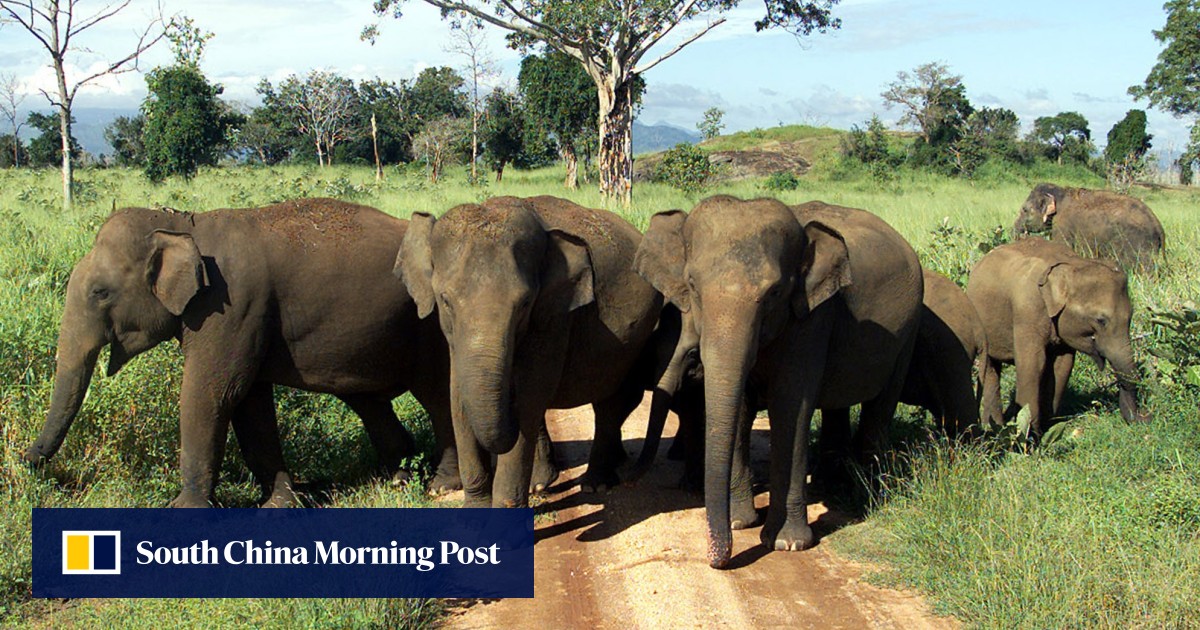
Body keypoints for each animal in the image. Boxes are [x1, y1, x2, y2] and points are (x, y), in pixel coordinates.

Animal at [25, 198, 459, 508]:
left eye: (100, 292)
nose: (29, 464)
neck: (183, 225)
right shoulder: (244, 320)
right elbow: (249, 404)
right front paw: (282, 502)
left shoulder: (231, 307)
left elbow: (211, 394)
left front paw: (184, 509)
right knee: (368, 400)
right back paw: (399, 477)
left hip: (431, 329)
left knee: (437, 394)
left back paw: (441, 485)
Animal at [394, 195, 663, 509]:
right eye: (445, 300)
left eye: (524, 304)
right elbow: (458, 399)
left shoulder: (554, 316)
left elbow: (528, 397)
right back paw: (541, 483)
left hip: (634, 340)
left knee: (610, 402)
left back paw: (595, 484)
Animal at [635, 196, 923, 568]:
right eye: (693, 284)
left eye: (774, 292)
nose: (718, 558)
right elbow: (741, 405)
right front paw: (739, 522)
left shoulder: (811, 317)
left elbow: (791, 406)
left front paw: (788, 543)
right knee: (837, 406)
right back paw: (829, 485)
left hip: (909, 331)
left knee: (880, 408)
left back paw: (868, 493)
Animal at [967, 237, 1150, 437]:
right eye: (1101, 320)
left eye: (1131, 317)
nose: (1144, 418)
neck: (1073, 264)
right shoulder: (1028, 310)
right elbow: (1033, 364)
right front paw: (1029, 437)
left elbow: (1062, 365)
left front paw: (1047, 427)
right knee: (990, 366)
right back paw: (995, 429)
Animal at [1012, 183, 1165, 271]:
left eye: (1024, 210)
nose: (1021, 234)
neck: (1060, 193)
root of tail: (1158, 226)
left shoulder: (1063, 225)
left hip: (1139, 244)